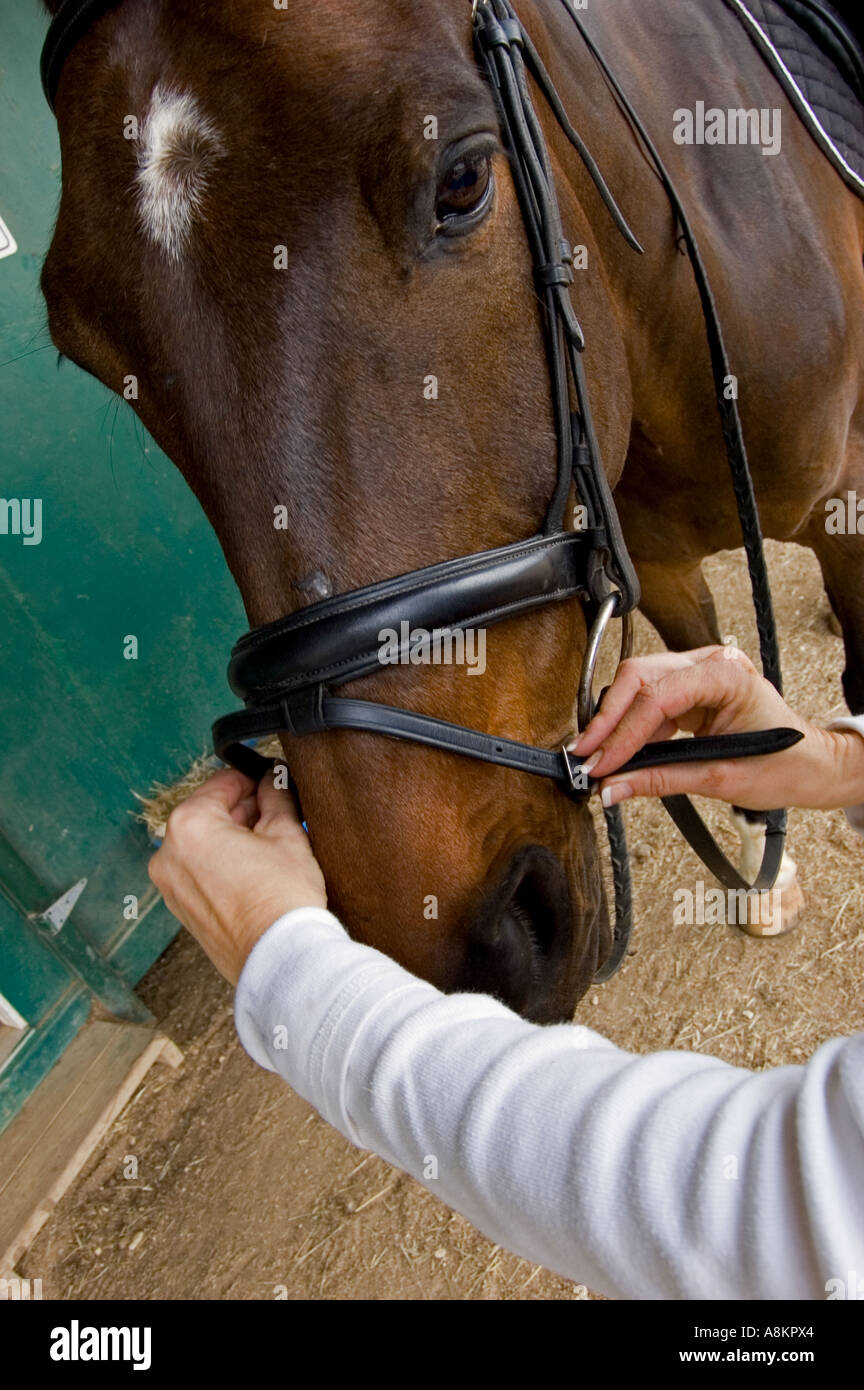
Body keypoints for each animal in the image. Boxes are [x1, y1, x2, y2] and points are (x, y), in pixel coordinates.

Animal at [38, 0, 864, 1022]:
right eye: (86, 349)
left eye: (464, 177)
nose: (461, 951)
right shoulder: (648, 556)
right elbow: (712, 665)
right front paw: (761, 845)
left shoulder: (848, 504)